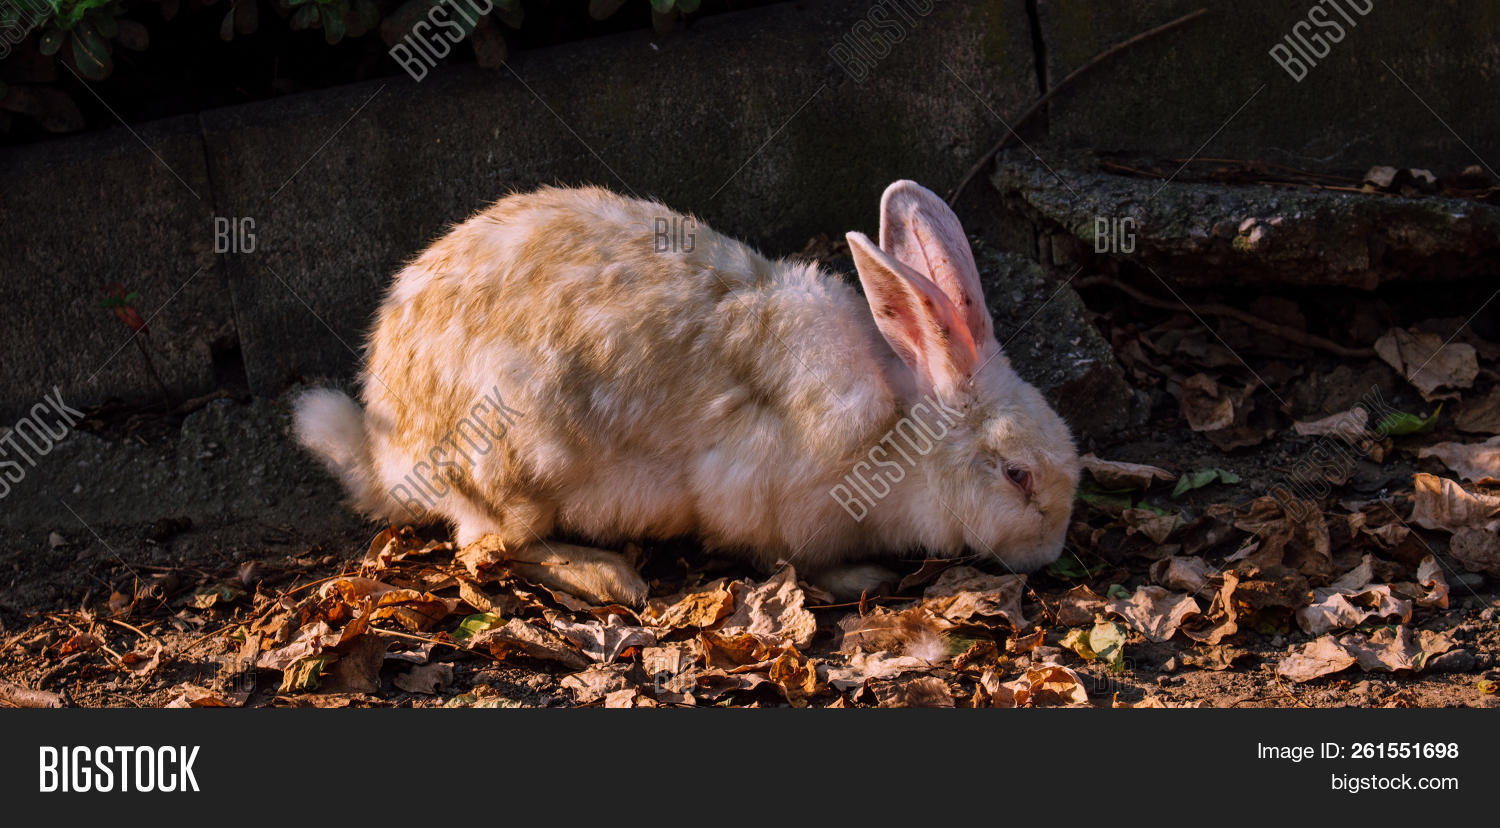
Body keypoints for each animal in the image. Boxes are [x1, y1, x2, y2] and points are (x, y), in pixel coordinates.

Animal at [294, 180, 1080, 606]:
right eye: (1018, 475)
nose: (1048, 555)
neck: (896, 425)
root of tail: (389, 451)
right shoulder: (769, 501)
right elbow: (785, 554)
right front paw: (863, 574)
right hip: (514, 462)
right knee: (485, 547)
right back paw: (609, 576)